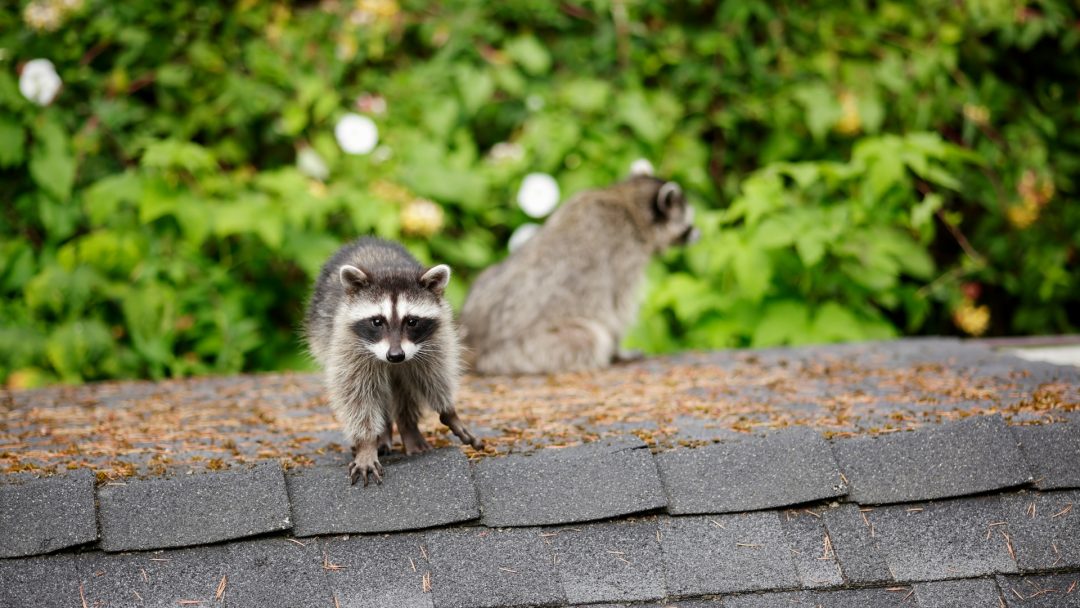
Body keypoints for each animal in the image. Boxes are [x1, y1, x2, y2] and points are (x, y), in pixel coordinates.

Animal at [304, 237, 483, 485]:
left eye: (412, 321)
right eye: (377, 321)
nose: (395, 356)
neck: (389, 268)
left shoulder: (435, 341)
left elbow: (435, 375)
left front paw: (449, 412)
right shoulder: (346, 344)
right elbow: (355, 394)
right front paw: (367, 443)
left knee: (404, 389)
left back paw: (408, 428)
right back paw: (383, 434)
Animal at [460, 174, 698, 375]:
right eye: (688, 223)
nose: (699, 233)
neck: (624, 198)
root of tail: (476, 344)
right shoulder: (624, 255)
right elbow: (617, 309)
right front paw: (619, 350)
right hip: (525, 349)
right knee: (590, 338)